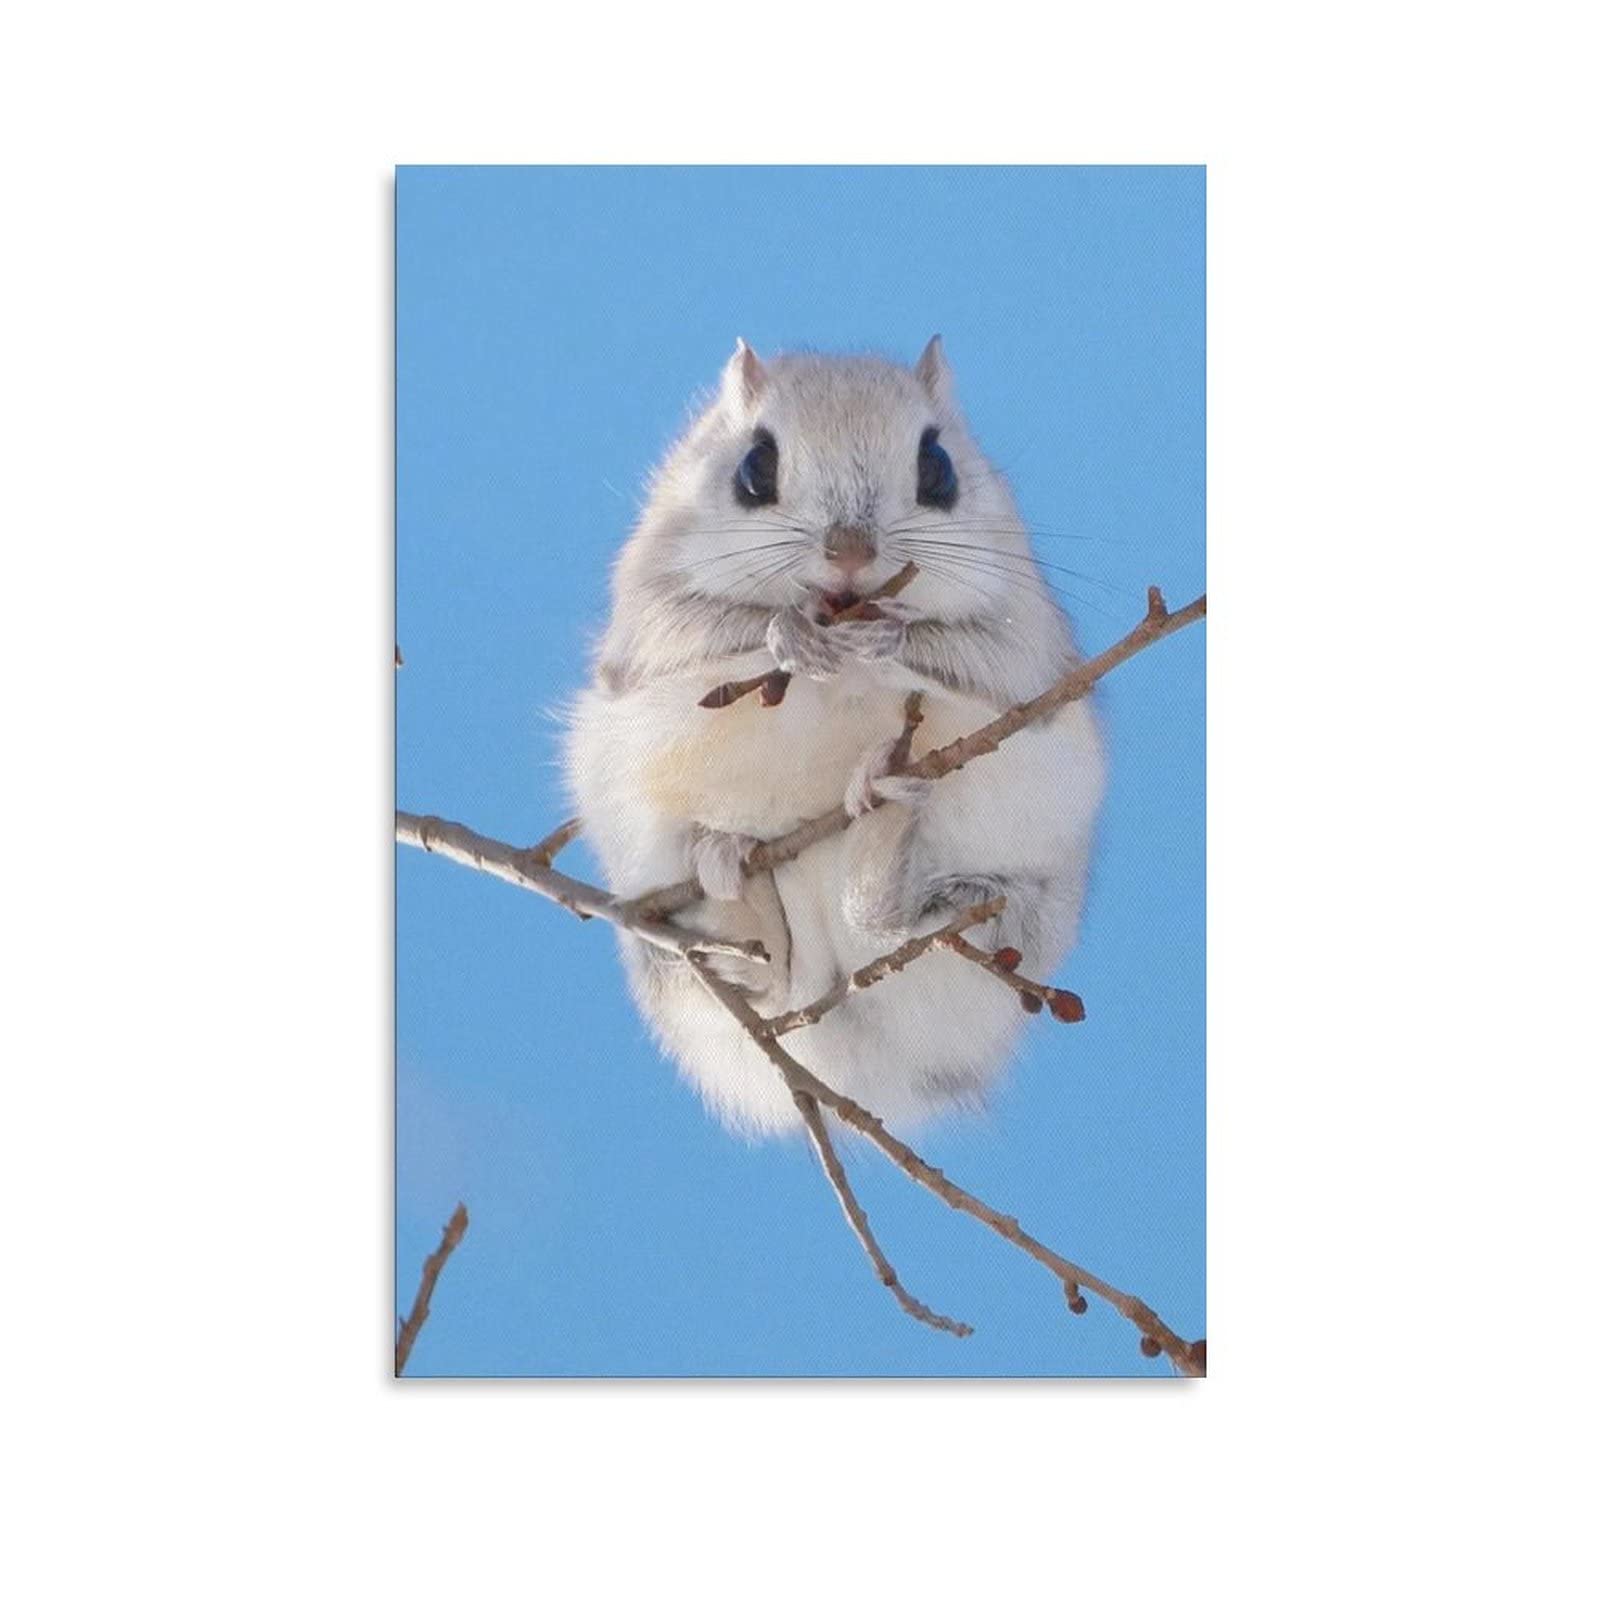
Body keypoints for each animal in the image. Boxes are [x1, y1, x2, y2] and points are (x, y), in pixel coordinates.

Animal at [565, 338, 1105, 1136]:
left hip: (997, 921)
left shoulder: (1024, 643)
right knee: (762, 971)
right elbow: (700, 630)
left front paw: (889, 636)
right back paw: (733, 872)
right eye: (754, 469)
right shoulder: (651, 612)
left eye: (937, 469)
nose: (850, 551)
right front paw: (788, 635)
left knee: (886, 926)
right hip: (669, 942)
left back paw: (881, 808)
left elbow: (980, 659)